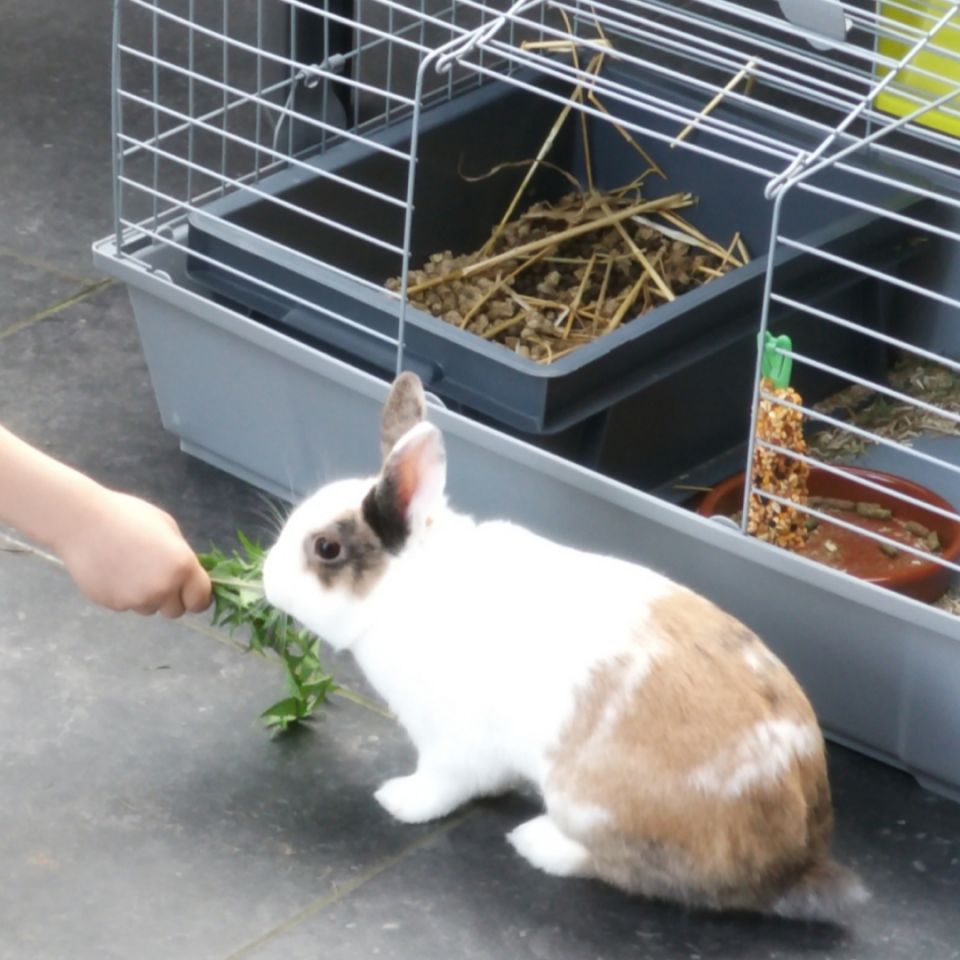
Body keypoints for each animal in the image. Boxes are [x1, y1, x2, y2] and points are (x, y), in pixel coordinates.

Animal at [262, 371, 868, 923]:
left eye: (326, 548)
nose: (267, 581)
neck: (406, 587)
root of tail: (793, 861)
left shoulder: (450, 744)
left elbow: (441, 785)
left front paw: (398, 801)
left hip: (591, 806)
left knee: (629, 870)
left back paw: (535, 842)